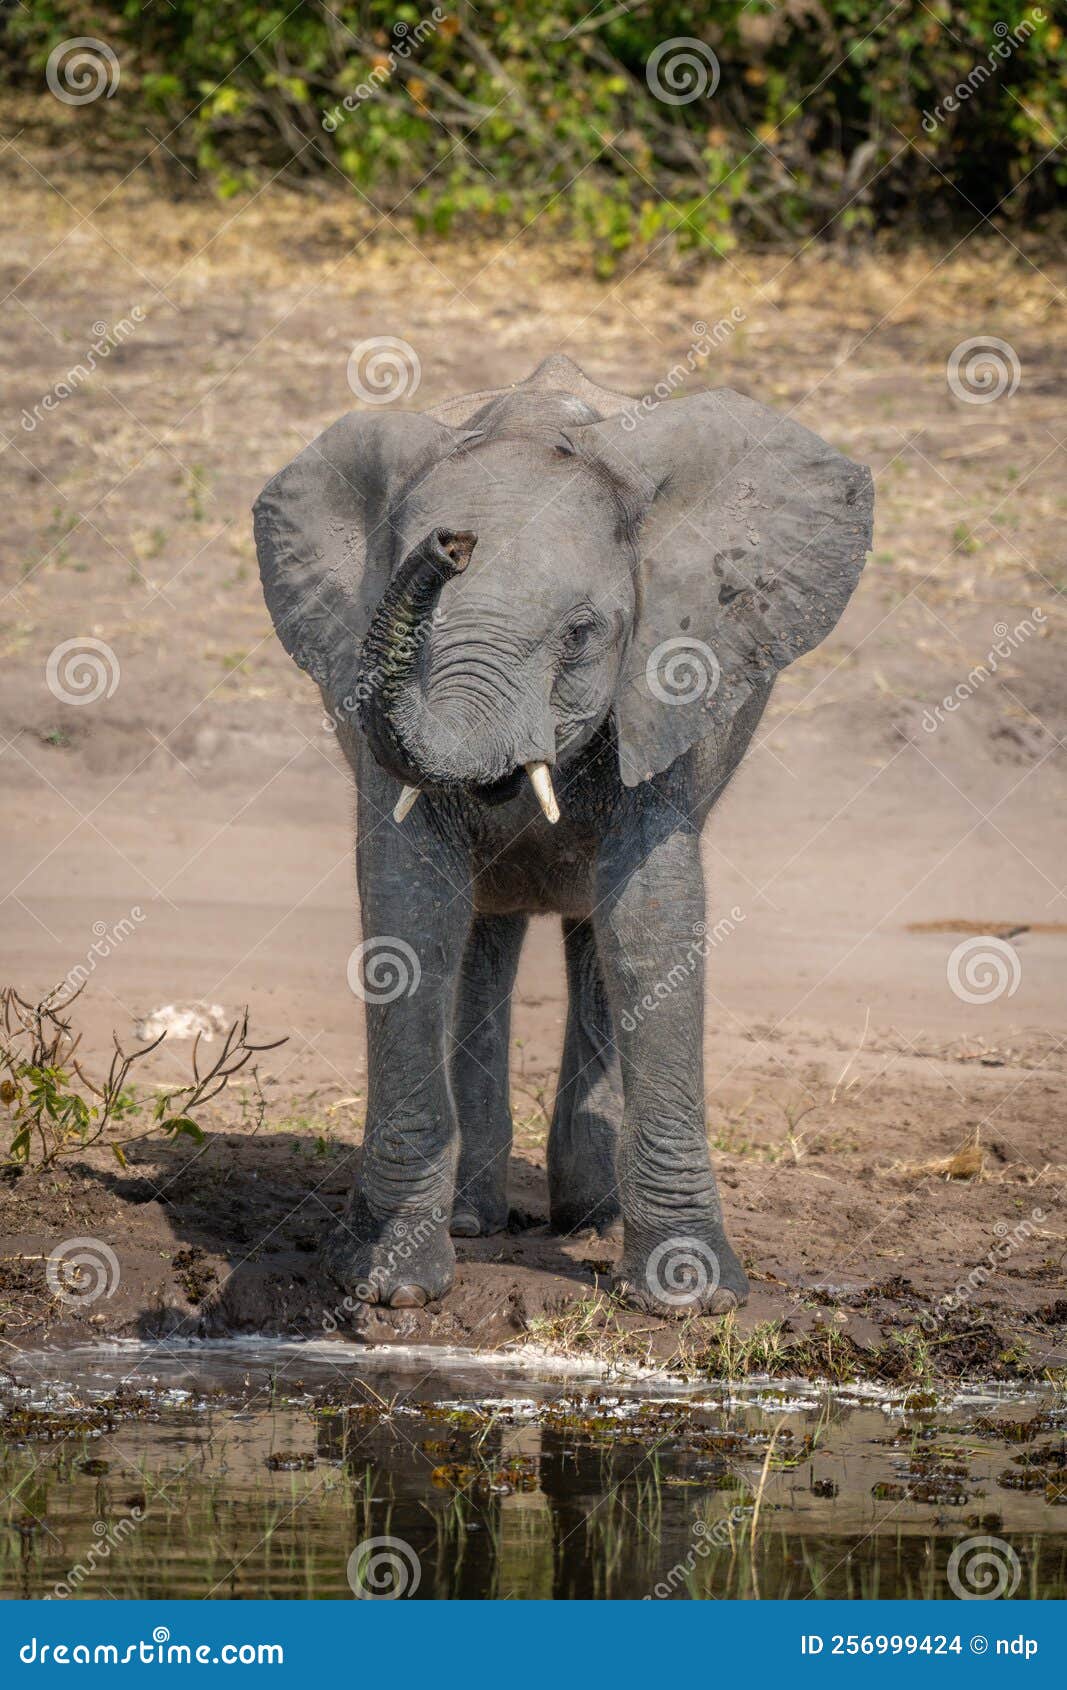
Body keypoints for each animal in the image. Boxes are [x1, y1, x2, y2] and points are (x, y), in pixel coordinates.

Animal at [253, 354, 873, 1318]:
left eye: (581, 634)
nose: (449, 545)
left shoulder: (671, 672)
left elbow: (650, 914)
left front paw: (688, 1299)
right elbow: (407, 903)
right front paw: (387, 1287)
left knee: (588, 931)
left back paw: (589, 1217)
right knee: (484, 934)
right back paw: (476, 1220)